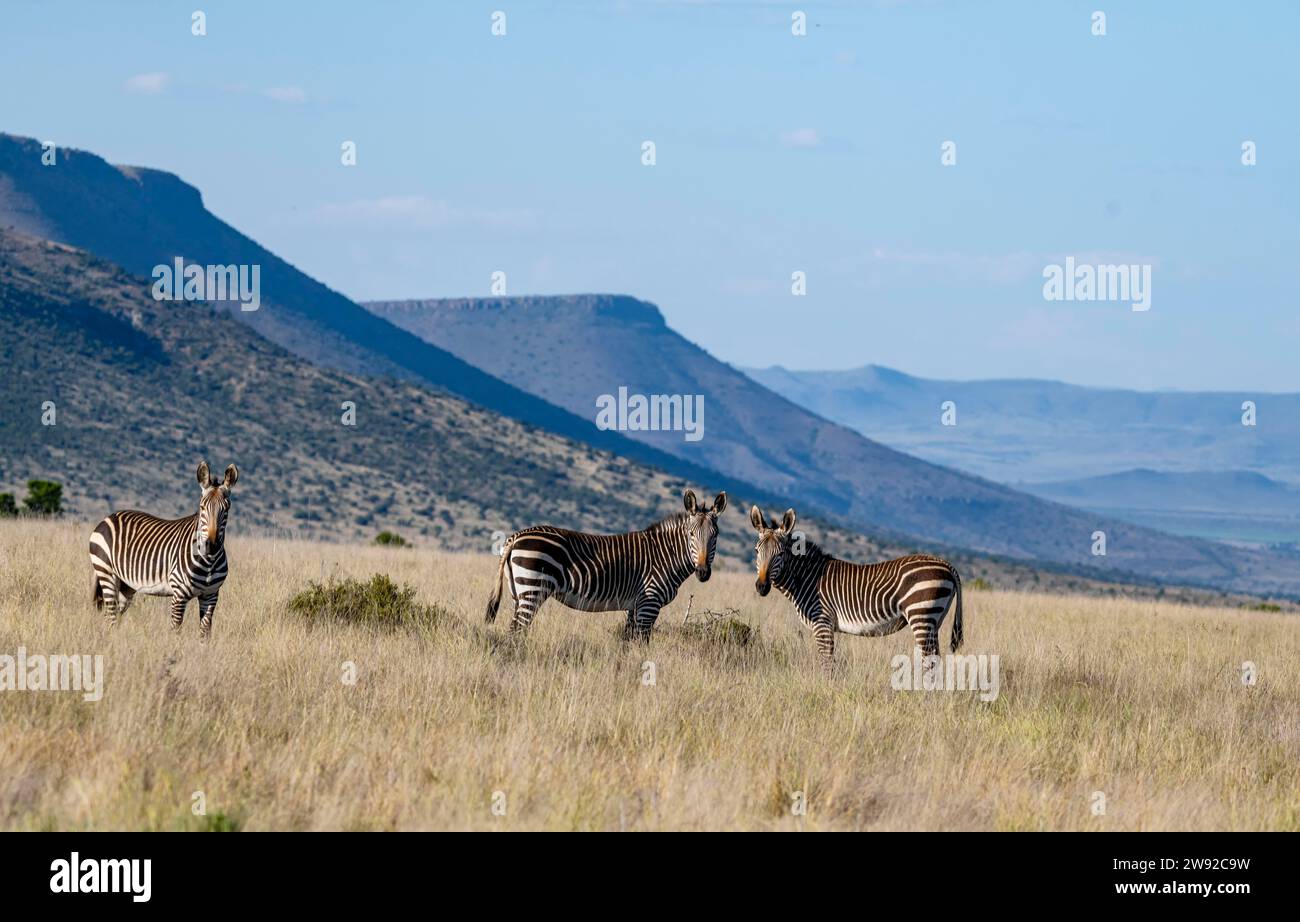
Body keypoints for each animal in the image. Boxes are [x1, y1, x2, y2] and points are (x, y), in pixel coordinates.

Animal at [89, 462, 240, 640]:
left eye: (227, 509)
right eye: (202, 507)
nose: (211, 545)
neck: (209, 562)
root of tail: (109, 517)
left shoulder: (210, 595)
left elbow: (205, 632)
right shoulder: (179, 594)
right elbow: (175, 630)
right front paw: (174, 647)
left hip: (125, 584)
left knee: (114, 615)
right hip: (106, 572)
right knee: (111, 616)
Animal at [485, 490, 727, 641]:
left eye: (715, 535)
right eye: (691, 535)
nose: (703, 572)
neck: (666, 554)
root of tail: (516, 536)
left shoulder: (635, 606)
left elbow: (628, 643)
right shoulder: (649, 603)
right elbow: (642, 644)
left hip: (519, 592)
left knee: (514, 628)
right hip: (533, 589)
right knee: (517, 631)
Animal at [750, 505, 962, 664]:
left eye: (780, 554)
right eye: (756, 551)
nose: (762, 587)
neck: (807, 578)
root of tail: (947, 564)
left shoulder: (822, 623)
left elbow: (827, 663)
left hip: (921, 615)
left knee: (930, 661)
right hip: (934, 620)